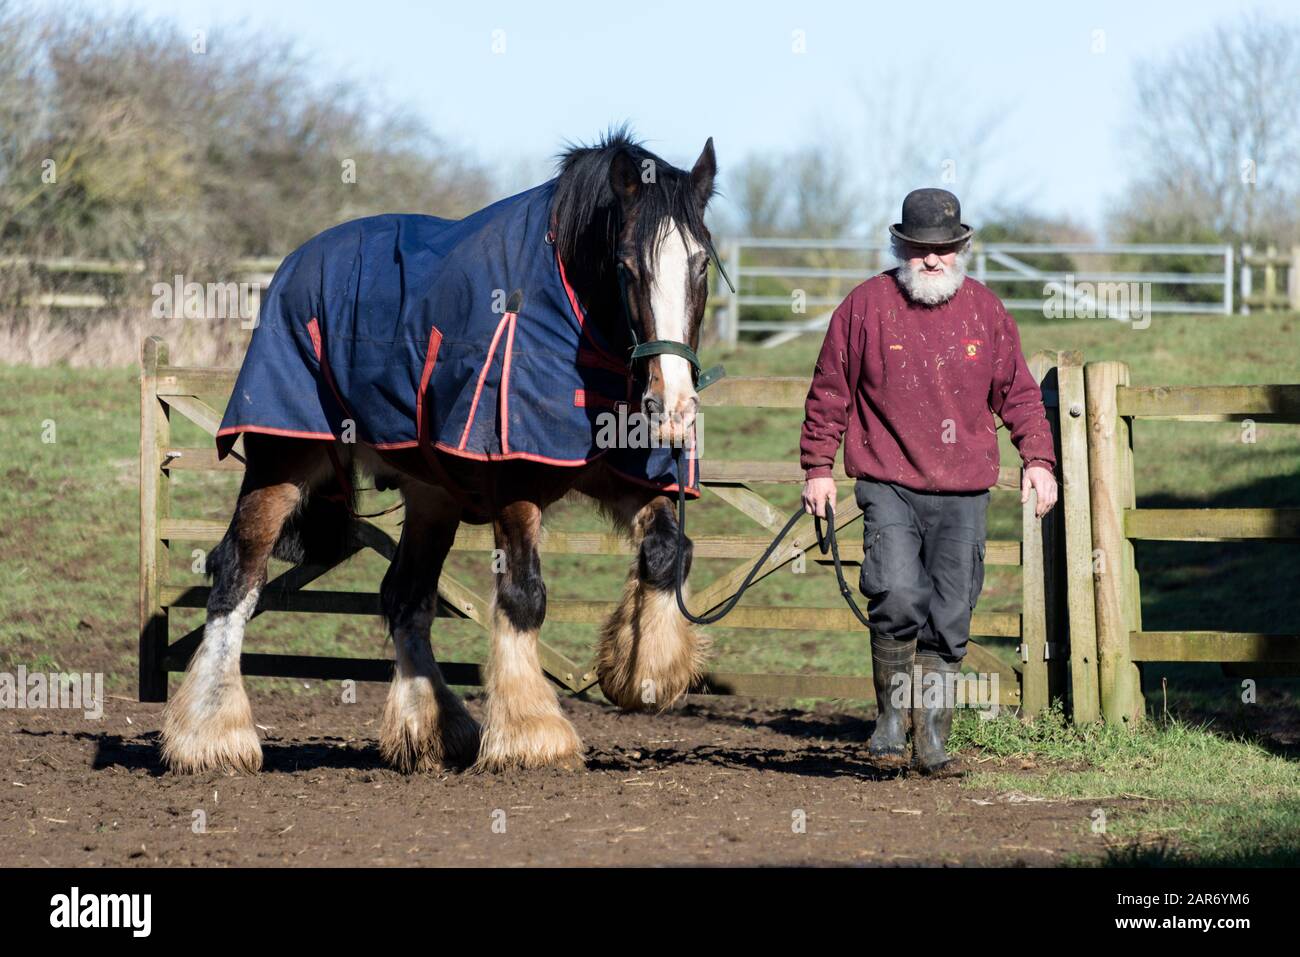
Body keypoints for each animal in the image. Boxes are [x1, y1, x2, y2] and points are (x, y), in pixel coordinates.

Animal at [159, 130, 718, 774]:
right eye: (626, 266)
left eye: (702, 263)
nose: (671, 406)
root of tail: (295, 264)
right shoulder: (515, 483)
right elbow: (524, 595)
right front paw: (532, 733)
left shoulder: (617, 478)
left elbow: (667, 551)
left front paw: (642, 674)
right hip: (283, 459)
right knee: (237, 573)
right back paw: (212, 734)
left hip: (430, 494)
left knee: (405, 597)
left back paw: (431, 728)